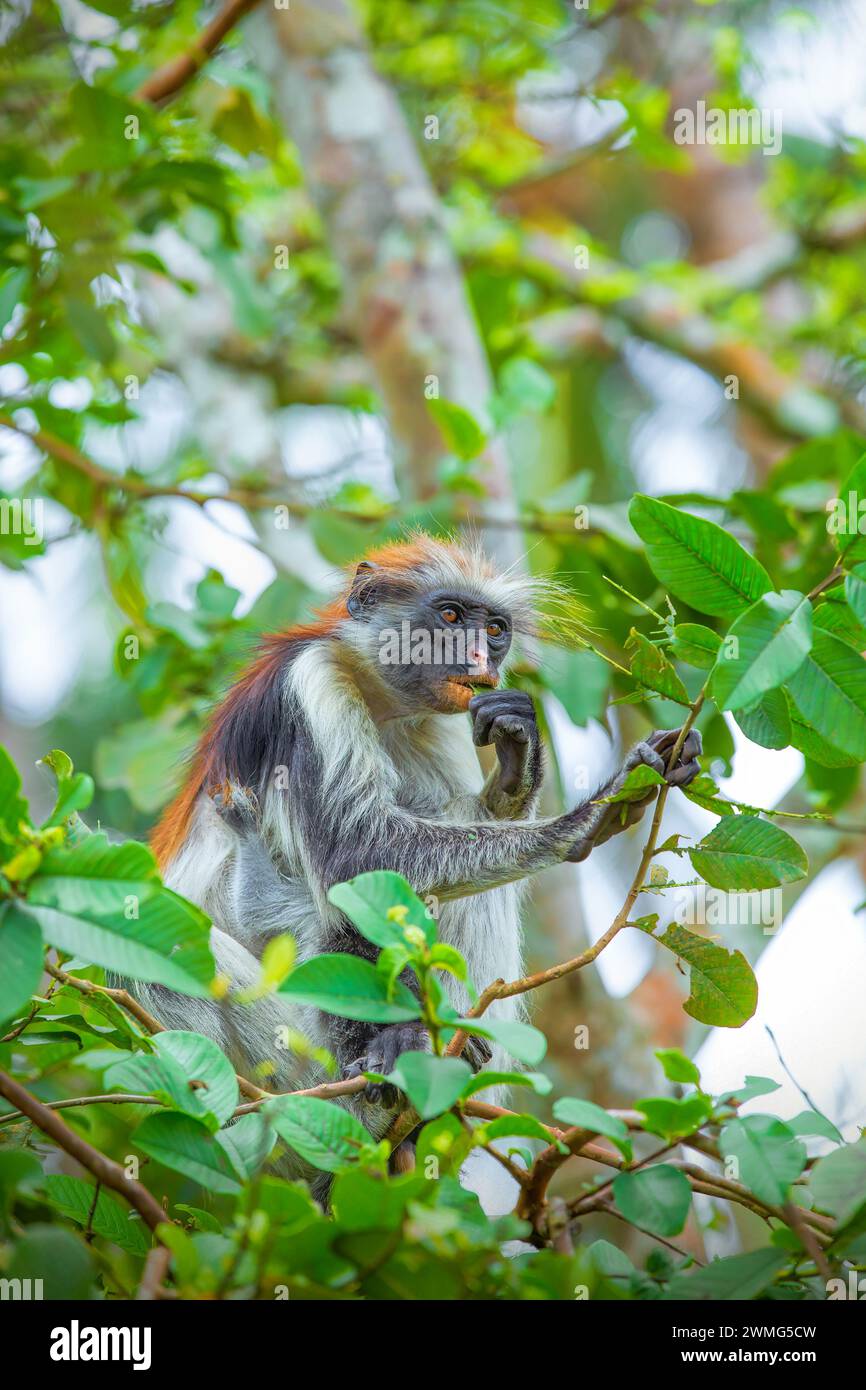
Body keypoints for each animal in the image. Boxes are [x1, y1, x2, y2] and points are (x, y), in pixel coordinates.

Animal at [142, 534, 701, 1202]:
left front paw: (520, 762)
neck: (382, 701)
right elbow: (356, 857)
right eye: (451, 617)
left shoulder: (446, 725)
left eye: (495, 629)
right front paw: (591, 813)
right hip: (284, 1068)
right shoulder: (309, 686)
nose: (481, 655)